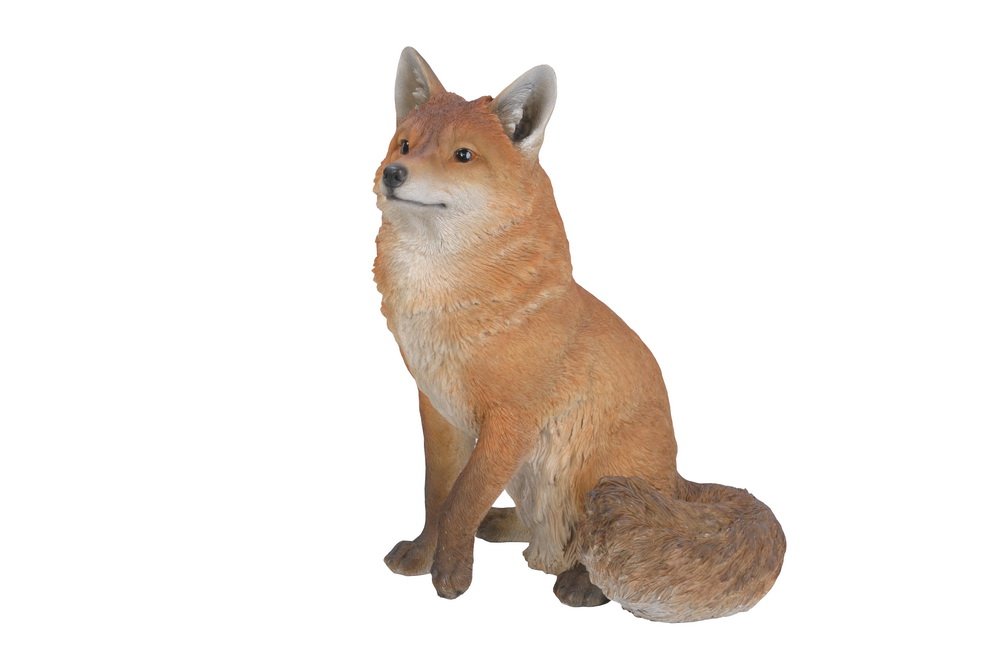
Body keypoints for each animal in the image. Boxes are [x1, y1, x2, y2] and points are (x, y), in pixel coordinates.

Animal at [373, 47, 785, 622]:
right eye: (405, 144)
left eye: (462, 155)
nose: (393, 173)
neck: (445, 308)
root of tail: (675, 480)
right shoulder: (439, 409)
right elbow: (439, 495)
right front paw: (421, 556)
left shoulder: (511, 422)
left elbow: (461, 502)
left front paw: (451, 575)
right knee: (542, 537)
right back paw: (504, 526)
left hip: (593, 478)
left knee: (579, 546)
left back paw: (580, 583)